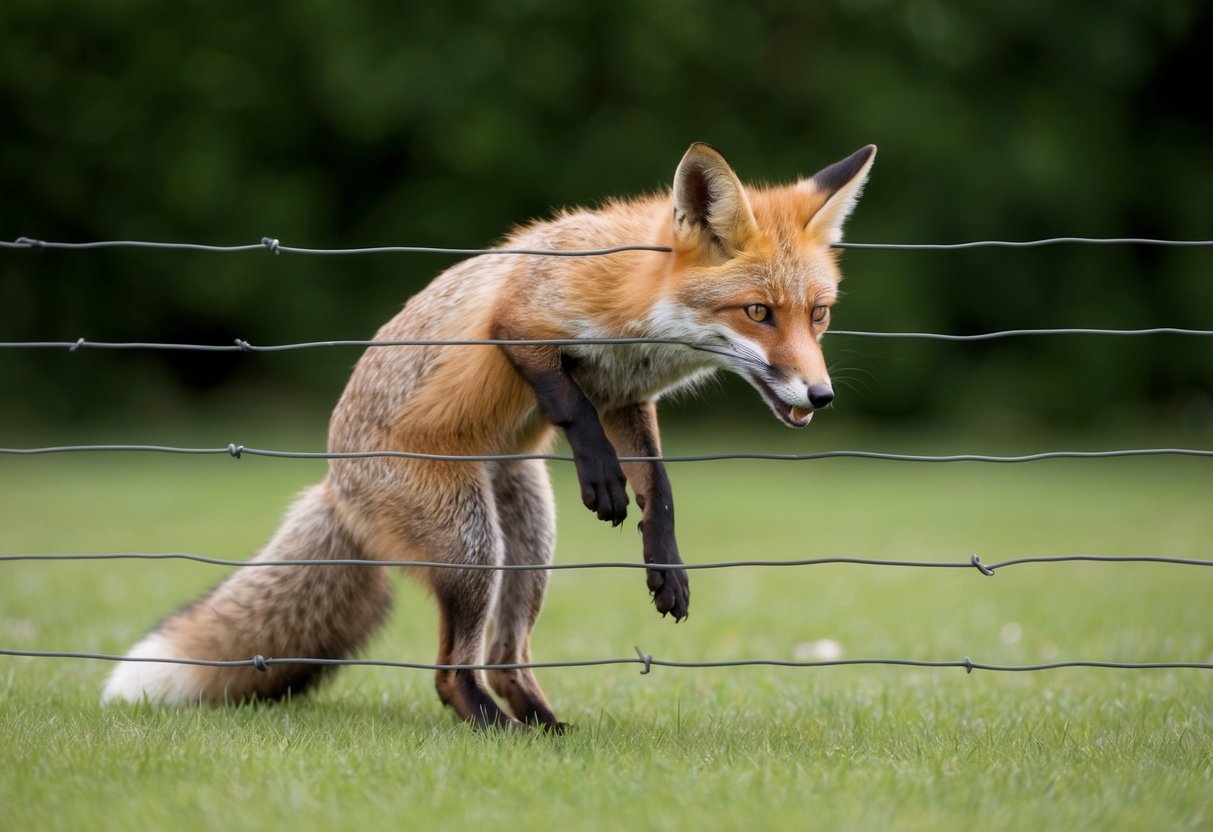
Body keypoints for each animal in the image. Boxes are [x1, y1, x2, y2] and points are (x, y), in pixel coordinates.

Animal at [101, 142, 876, 728]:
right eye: (758, 312)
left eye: (819, 315)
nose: (822, 395)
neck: (643, 313)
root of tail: (333, 483)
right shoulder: (521, 321)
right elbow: (568, 403)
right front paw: (600, 474)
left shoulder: (627, 397)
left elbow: (659, 486)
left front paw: (666, 563)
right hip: (473, 547)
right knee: (449, 674)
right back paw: (490, 727)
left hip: (527, 549)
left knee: (505, 659)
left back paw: (542, 725)